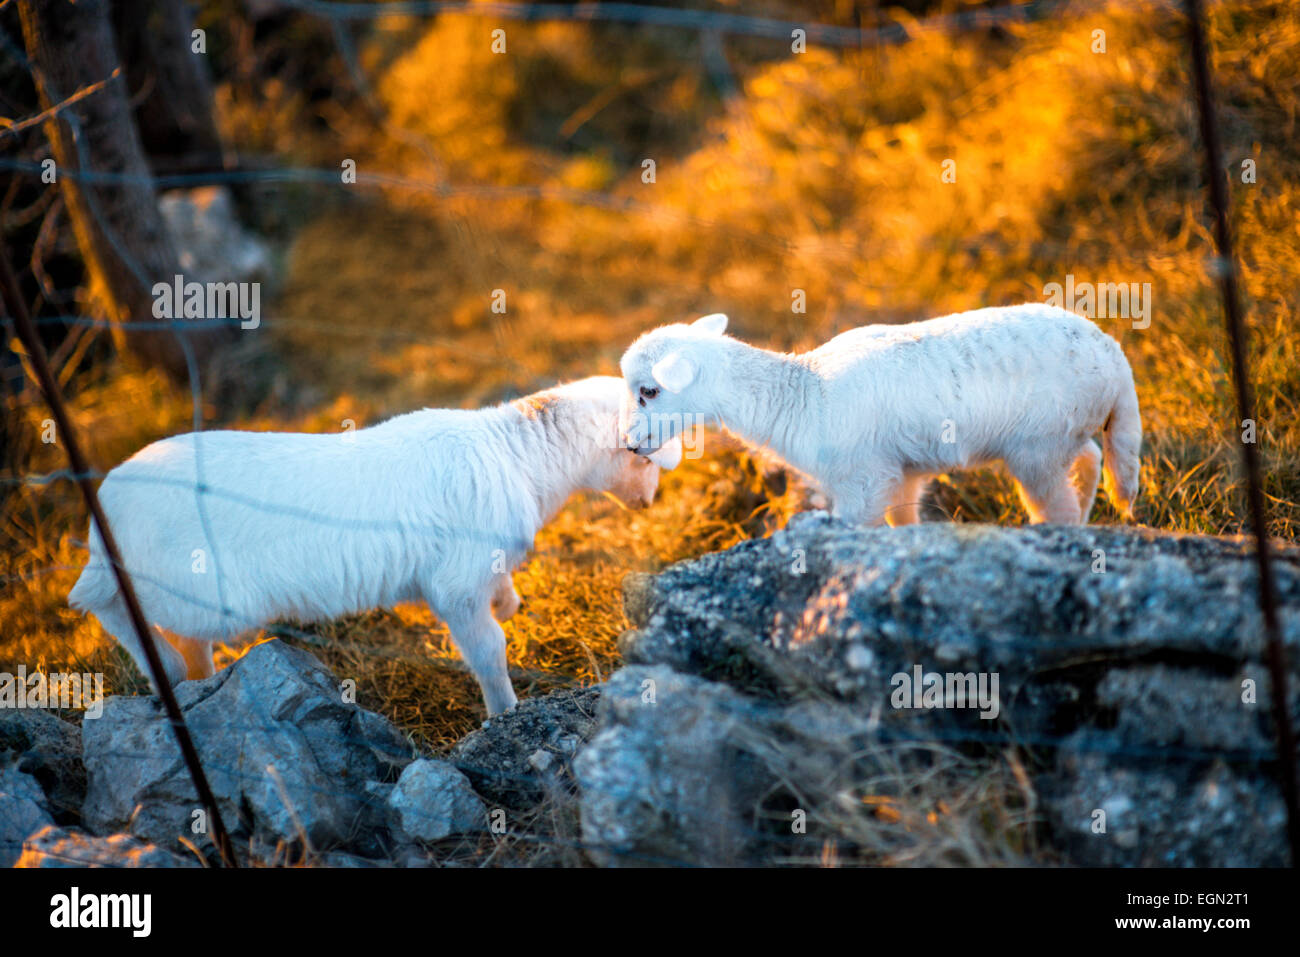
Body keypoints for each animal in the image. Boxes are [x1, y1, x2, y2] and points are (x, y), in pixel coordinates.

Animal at [69, 376, 681, 715]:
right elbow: (489, 651)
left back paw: (195, 676)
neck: (519, 457)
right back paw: (167, 667)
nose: (652, 501)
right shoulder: (455, 587)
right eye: (643, 455)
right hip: (183, 587)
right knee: (105, 604)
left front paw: (509, 601)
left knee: (182, 637)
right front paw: (503, 714)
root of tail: (104, 516)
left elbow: (502, 595)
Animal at [619, 304, 1141, 527]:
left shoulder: (863, 479)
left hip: (1037, 445)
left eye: (649, 391)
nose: (629, 445)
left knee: (1058, 503)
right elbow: (903, 526)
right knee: (1091, 459)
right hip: (1064, 433)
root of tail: (1115, 357)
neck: (804, 393)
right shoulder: (900, 473)